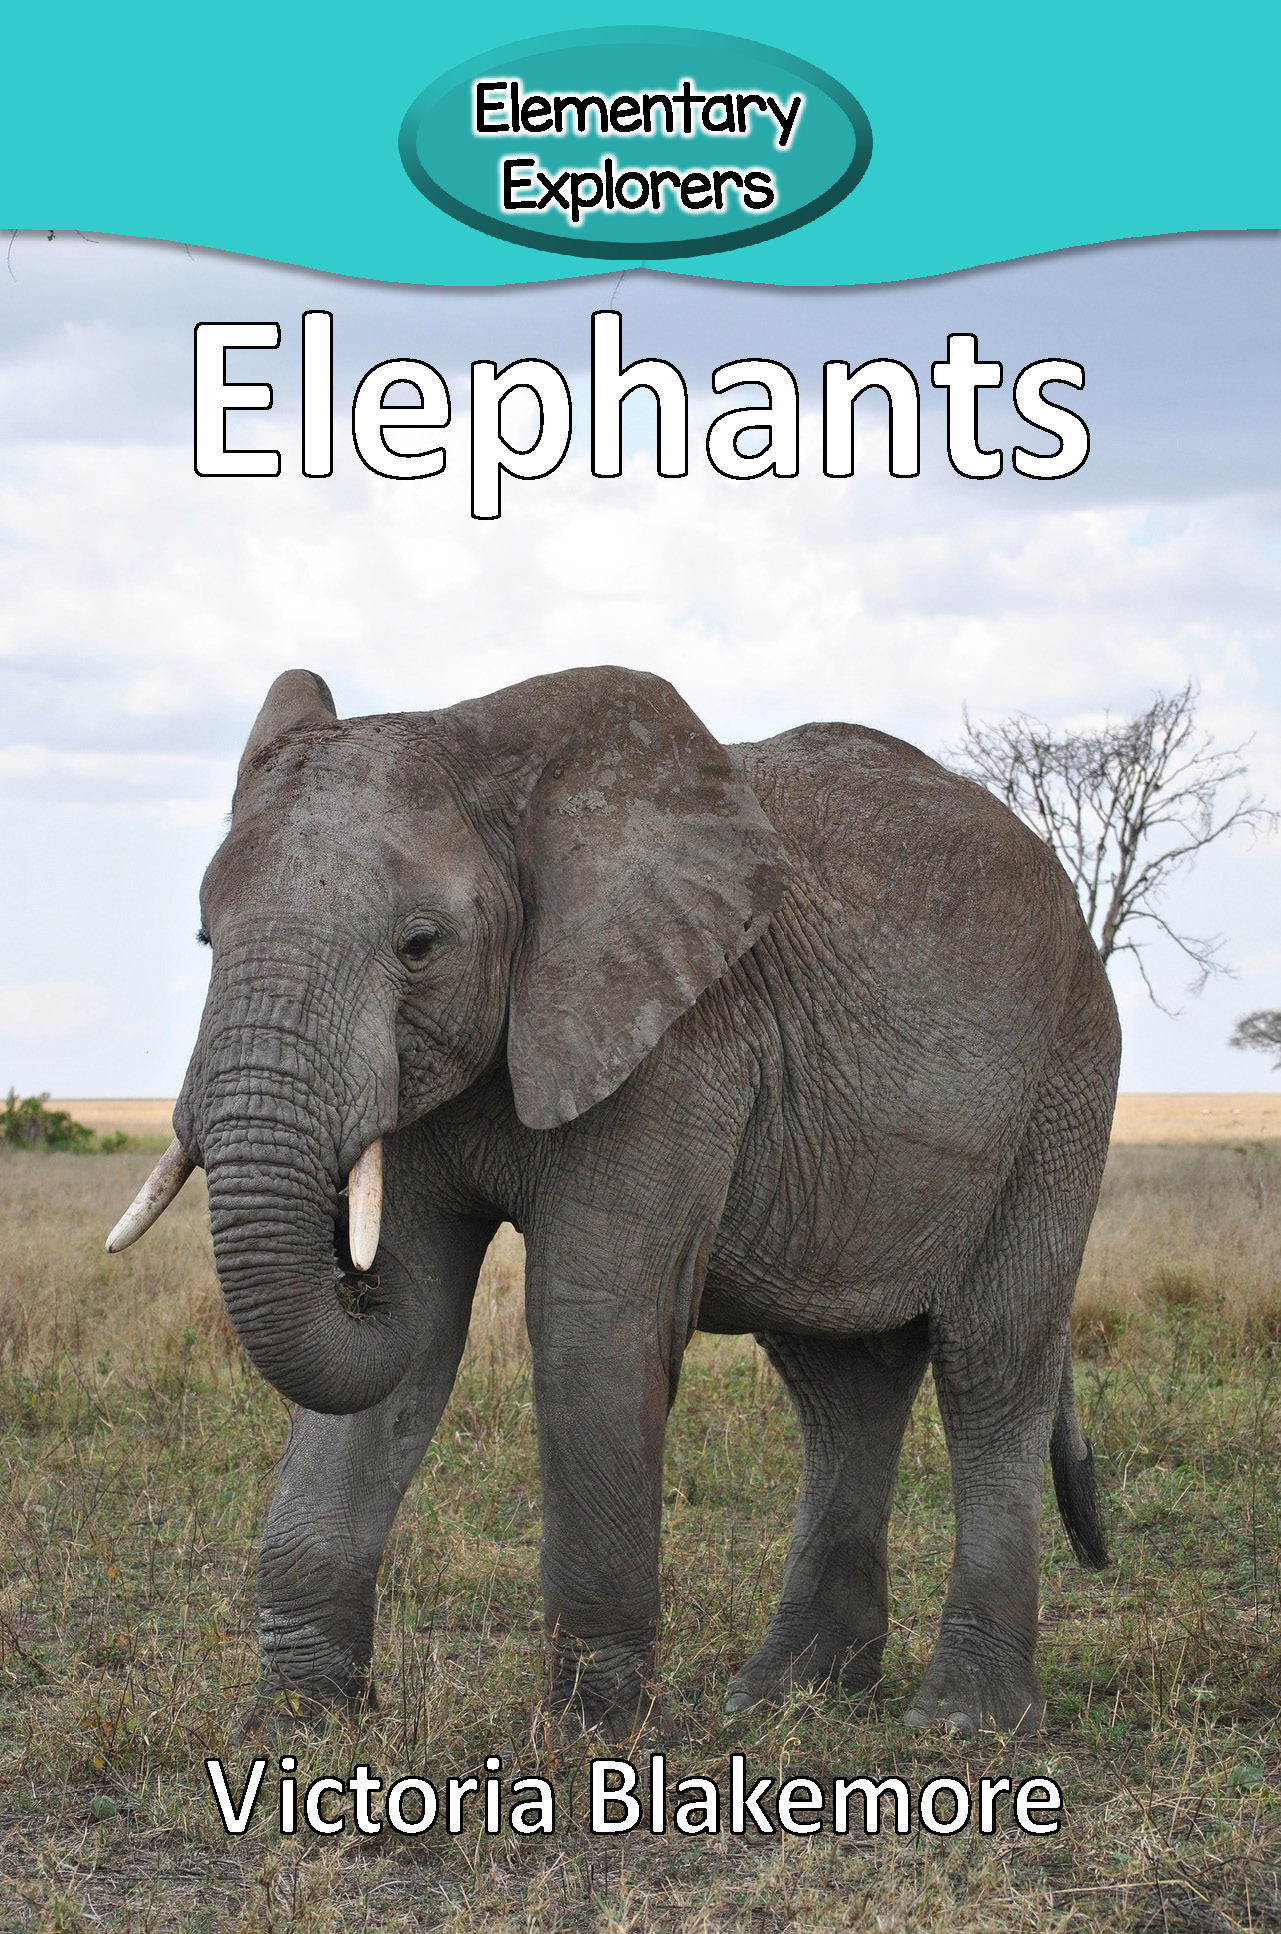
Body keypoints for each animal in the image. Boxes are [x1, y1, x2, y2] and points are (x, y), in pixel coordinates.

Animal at [108, 663, 1118, 1736]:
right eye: (205, 936)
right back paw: (780, 1698)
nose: (346, 1260)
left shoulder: (675, 1040)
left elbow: (587, 1324)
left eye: (420, 944)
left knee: (990, 1361)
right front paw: (299, 1723)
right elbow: (416, 1333)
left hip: (1063, 1081)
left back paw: (965, 1722)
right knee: (841, 1386)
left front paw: (591, 1734)